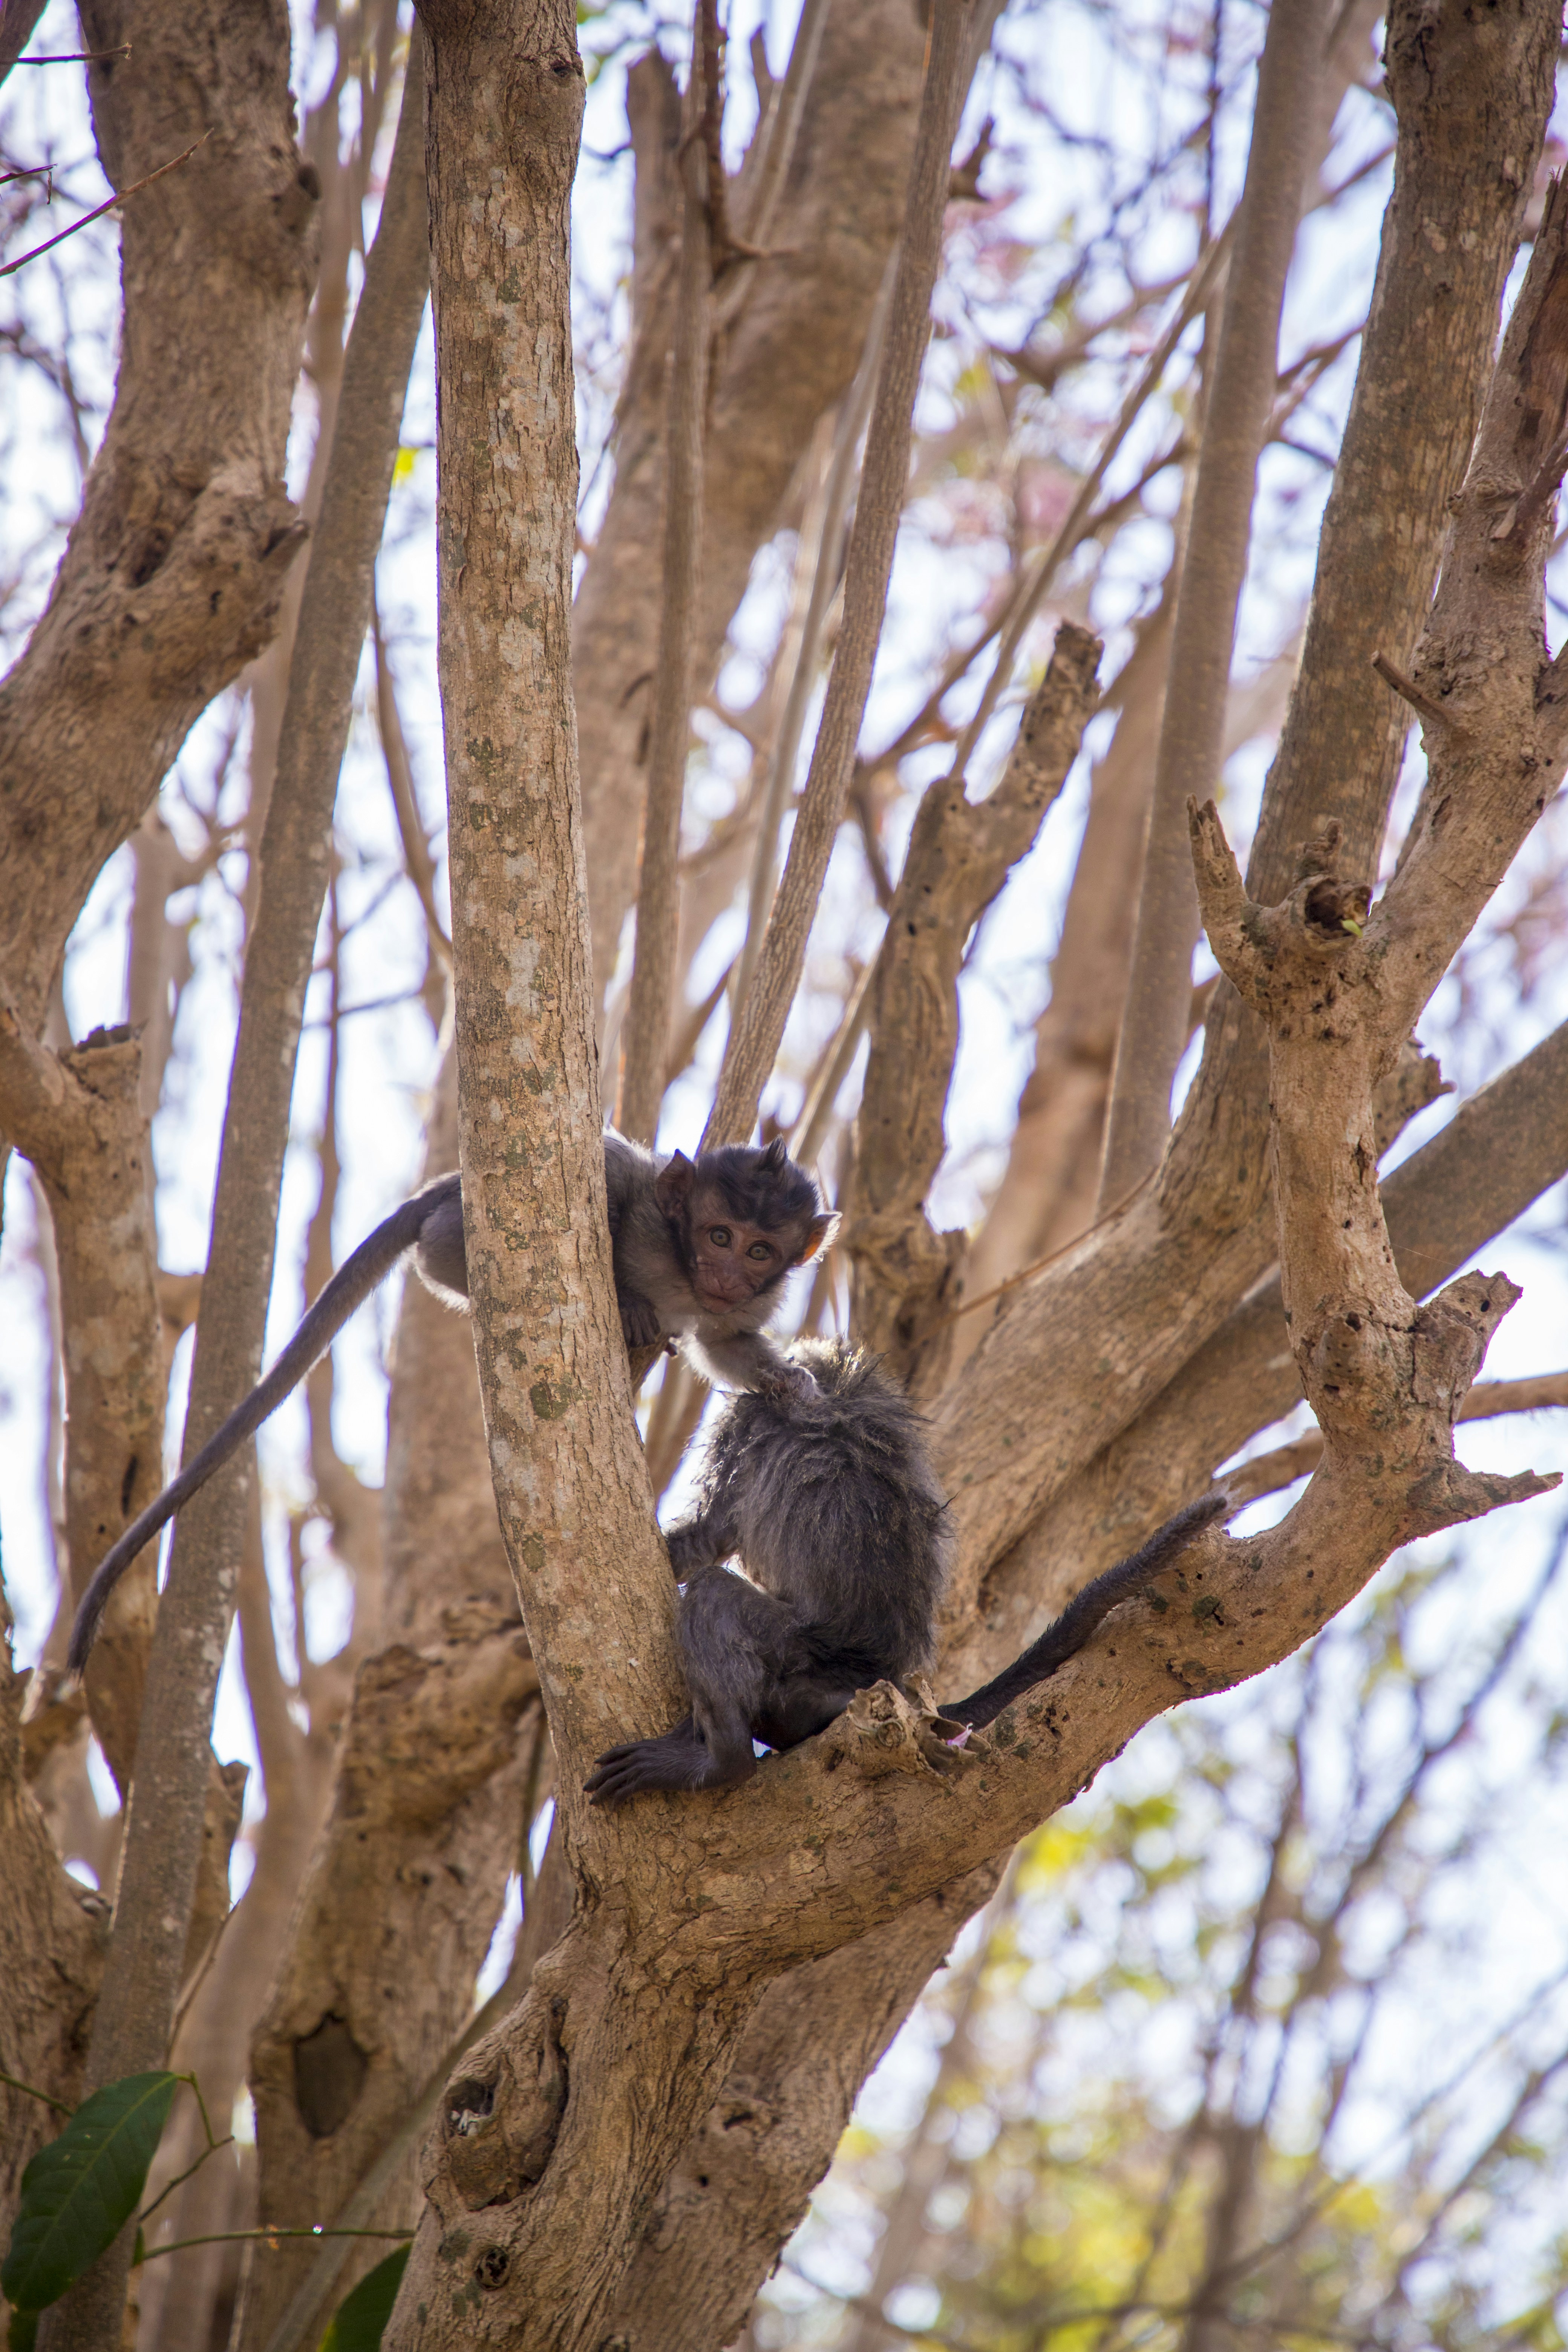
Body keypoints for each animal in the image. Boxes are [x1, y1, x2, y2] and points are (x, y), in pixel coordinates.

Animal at [66, 1133, 833, 1676]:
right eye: (719, 1234)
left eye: (761, 1250)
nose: (728, 1273)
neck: (682, 1268)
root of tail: (444, 1189)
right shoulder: (650, 1214)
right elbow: (616, 1196)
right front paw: (634, 1299)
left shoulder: (733, 1308)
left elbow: (725, 1344)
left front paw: (791, 1384)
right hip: (449, 1240)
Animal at [584, 1338, 1231, 1806]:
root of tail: (882, 1673)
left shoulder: (746, 1425)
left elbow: (708, 1537)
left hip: (804, 1655)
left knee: (715, 1598)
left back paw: (721, 1763)